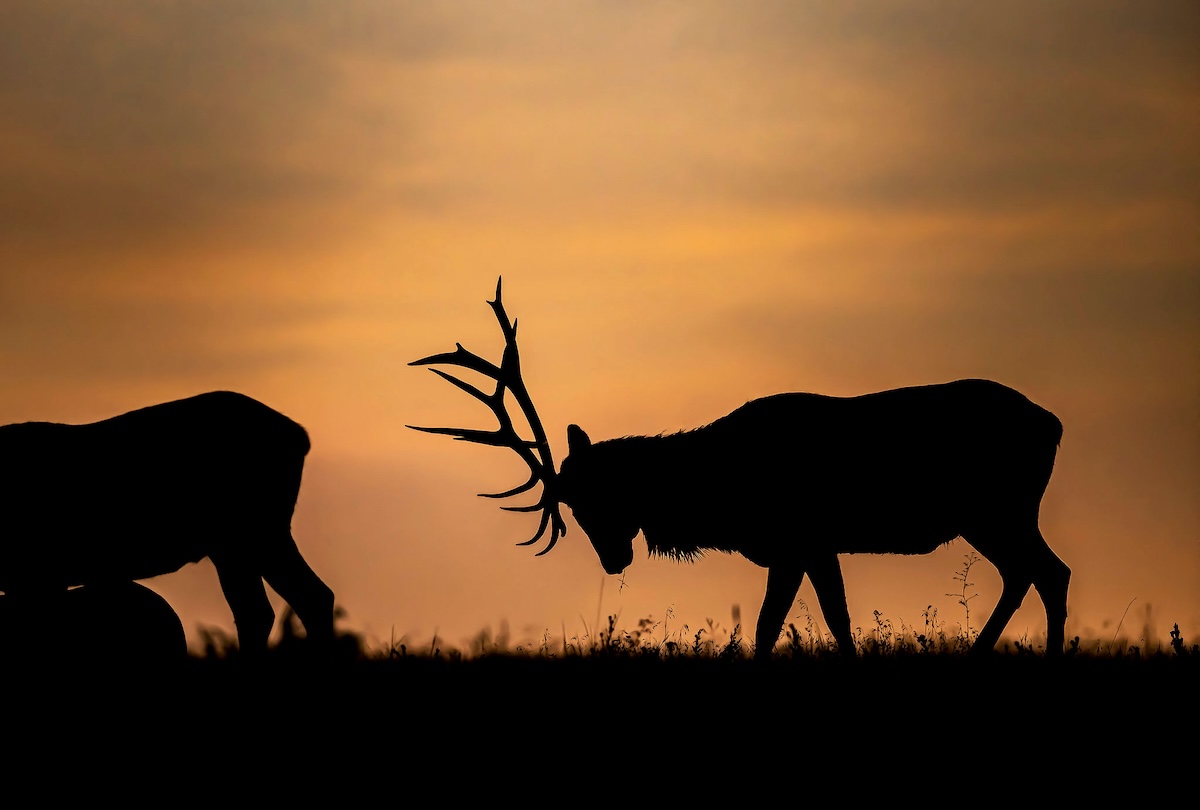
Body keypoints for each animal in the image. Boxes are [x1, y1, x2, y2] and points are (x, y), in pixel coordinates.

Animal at [0, 391, 335, 656]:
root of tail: (300, 437)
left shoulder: (41, 574)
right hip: (238, 545)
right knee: (271, 607)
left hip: (255, 531)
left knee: (302, 600)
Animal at [409, 278, 1071, 659]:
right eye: (574, 502)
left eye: (597, 493)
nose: (614, 560)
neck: (721, 496)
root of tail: (1054, 424)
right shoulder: (814, 544)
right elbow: (827, 622)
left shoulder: (797, 538)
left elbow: (775, 627)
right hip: (997, 514)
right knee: (1036, 572)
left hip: (998, 508)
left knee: (1048, 572)